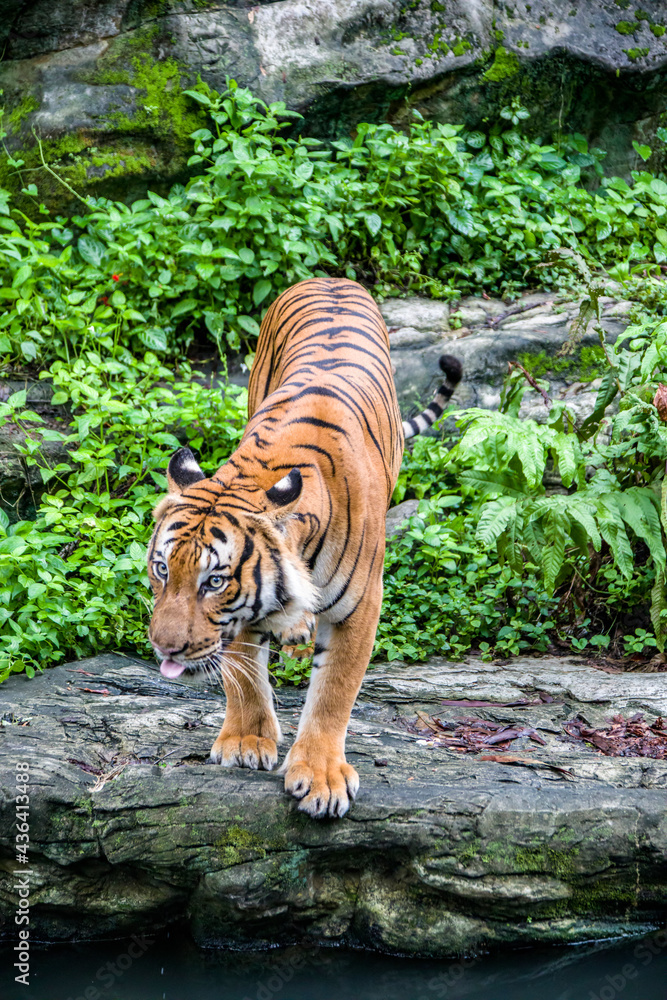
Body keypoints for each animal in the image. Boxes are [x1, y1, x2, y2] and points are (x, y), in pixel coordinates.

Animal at [147, 277, 462, 818]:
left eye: (214, 581)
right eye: (163, 570)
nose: (164, 648)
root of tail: (332, 278)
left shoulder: (361, 607)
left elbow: (334, 690)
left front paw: (320, 779)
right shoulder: (243, 614)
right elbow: (244, 674)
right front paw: (246, 741)